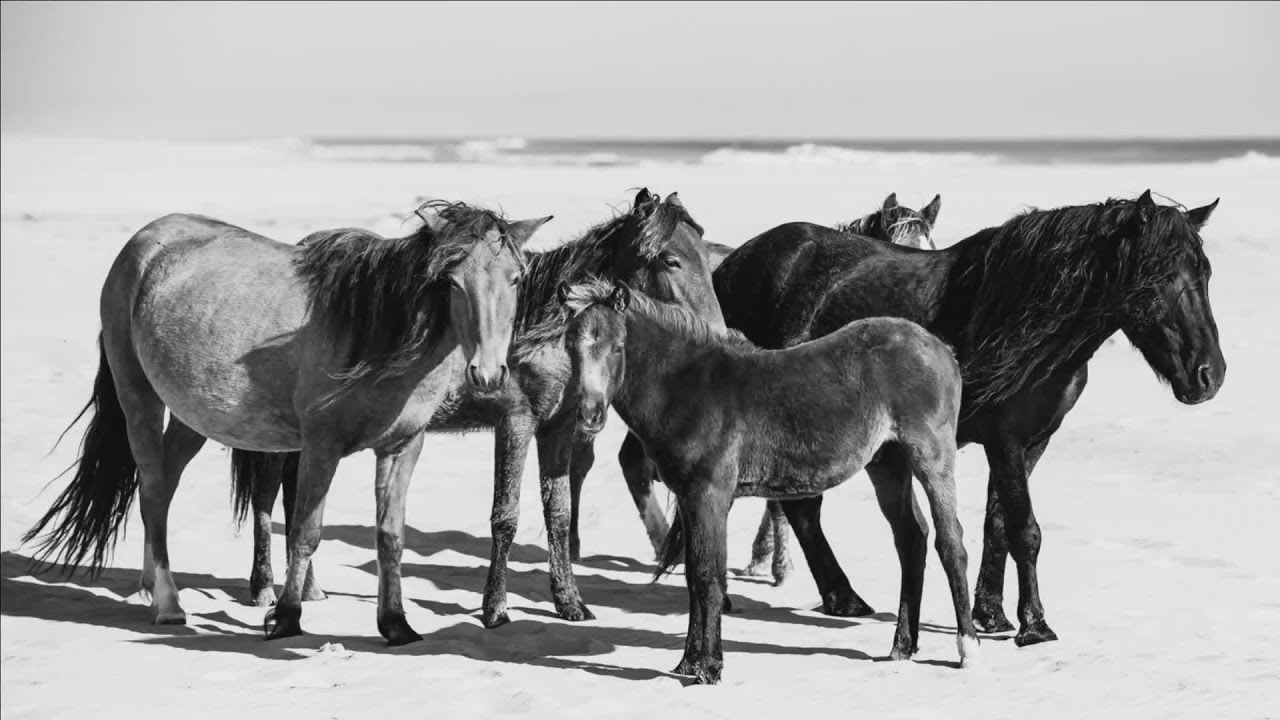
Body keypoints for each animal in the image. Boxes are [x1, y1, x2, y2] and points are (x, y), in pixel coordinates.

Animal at [21, 201, 551, 645]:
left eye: (516, 279)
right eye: (451, 281)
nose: (487, 373)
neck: (374, 330)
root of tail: (144, 243)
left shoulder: (402, 448)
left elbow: (390, 536)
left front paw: (396, 624)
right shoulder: (320, 446)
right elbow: (304, 531)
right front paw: (286, 617)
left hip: (193, 417)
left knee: (163, 491)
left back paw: (150, 584)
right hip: (139, 398)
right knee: (151, 487)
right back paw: (168, 603)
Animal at [230, 189, 725, 629]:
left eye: (706, 254)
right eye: (671, 259)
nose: (720, 334)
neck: (539, 329)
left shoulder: (557, 429)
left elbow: (559, 514)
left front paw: (570, 602)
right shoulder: (516, 423)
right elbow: (505, 516)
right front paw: (495, 609)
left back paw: (309, 588)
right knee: (267, 496)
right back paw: (265, 589)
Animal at [560, 279, 977, 685]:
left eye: (617, 348)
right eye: (569, 347)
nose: (588, 415)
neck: (689, 388)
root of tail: (941, 349)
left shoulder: (709, 494)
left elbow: (709, 577)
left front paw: (708, 667)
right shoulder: (692, 498)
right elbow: (695, 577)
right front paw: (688, 663)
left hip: (931, 456)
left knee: (950, 542)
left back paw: (967, 648)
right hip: (888, 464)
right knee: (911, 538)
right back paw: (903, 646)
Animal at [663, 190, 1224, 648]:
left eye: (1204, 274)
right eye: (1157, 278)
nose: (1209, 375)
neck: (1025, 314)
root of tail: (732, 263)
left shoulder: (1031, 441)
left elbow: (998, 524)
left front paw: (993, 615)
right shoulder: (1007, 440)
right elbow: (1026, 529)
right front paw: (1036, 625)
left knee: (801, 509)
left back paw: (841, 597)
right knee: (798, 509)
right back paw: (831, 596)